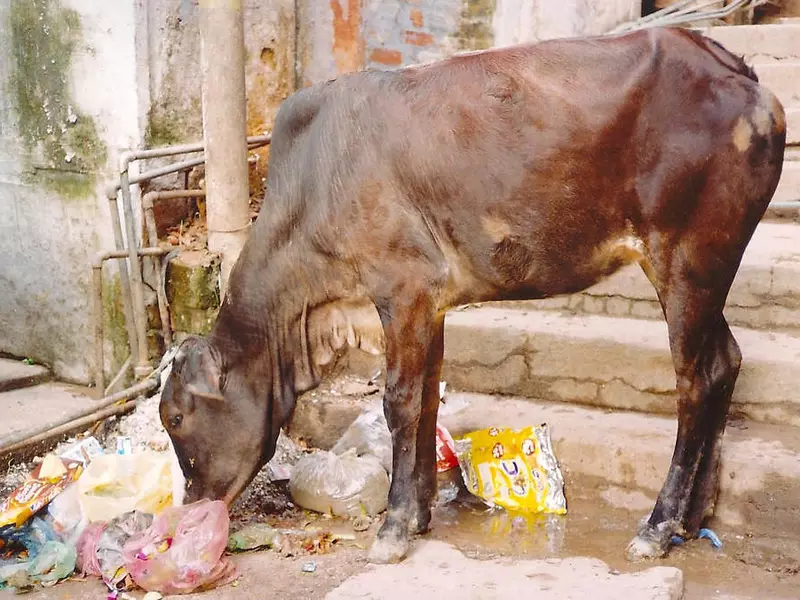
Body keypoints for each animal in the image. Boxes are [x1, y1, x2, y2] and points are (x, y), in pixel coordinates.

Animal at [159, 25, 784, 564]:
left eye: (176, 417)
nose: (190, 509)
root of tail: (742, 76)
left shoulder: (403, 290)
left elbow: (399, 402)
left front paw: (393, 528)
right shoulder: (429, 304)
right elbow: (428, 399)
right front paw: (419, 516)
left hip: (686, 264)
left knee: (695, 383)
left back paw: (657, 527)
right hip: (705, 277)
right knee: (726, 362)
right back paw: (690, 519)